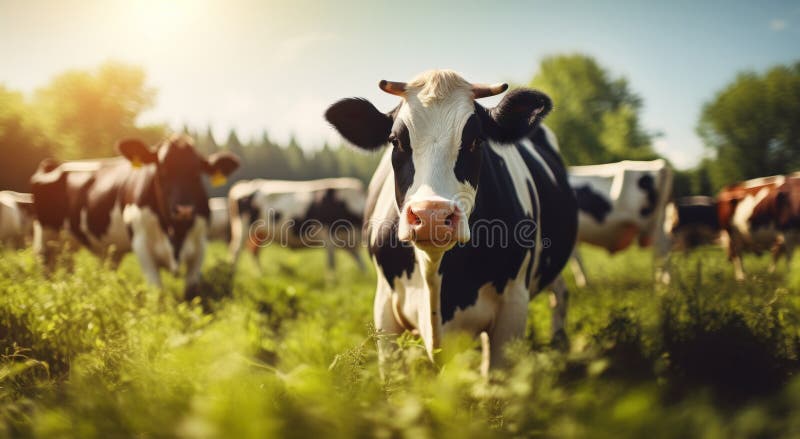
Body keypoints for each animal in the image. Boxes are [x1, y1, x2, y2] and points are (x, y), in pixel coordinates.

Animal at [30, 135, 239, 298]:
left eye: (197, 173)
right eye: (161, 170)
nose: (184, 210)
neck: (175, 231)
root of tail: (52, 165)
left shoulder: (200, 247)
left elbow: (191, 292)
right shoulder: (142, 245)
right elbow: (157, 291)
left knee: (68, 266)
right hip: (45, 236)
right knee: (46, 267)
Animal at [228, 178, 366, 271]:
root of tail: (246, 184)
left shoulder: (348, 242)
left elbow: (362, 265)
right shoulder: (328, 236)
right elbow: (331, 263)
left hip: (258, 234)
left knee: (254, 252)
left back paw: (260, 274)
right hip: (242, 228)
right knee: (235, 251)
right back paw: (232, 273)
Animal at [324, 70, 578, 371]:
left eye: (476, 140)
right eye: (395, 140)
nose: (431, 215)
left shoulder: (513, 307)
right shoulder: (384, 309)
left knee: (559, 295)